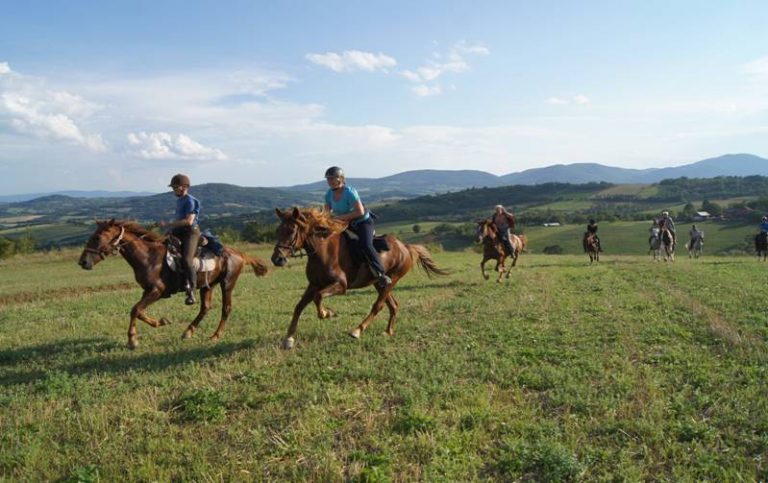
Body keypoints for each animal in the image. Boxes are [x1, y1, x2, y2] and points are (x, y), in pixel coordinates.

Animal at [78, 219, 269, 349]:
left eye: (97, 237)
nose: (83, 262)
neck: (148, 256)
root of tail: (240, 254)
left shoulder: (157, 290)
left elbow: (135, 310)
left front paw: (132, 340)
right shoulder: (148, 291)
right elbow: (139, 311)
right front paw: (161, 322)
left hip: (227, 284)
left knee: (226, 309)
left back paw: (215, 335)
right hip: (207, 285)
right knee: (205, 308)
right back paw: (188, 331)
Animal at [270, 207, 449, 349]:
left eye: (292, 231)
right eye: (277, 230)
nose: (276, 259)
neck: (321, 250)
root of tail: (405, 246)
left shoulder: (340, 285)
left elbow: (318, 297)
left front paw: (327, 313)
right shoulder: (314, 284)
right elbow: (299, 306)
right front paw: (289, 339)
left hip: (393, 278)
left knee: (378, 306)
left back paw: (357, 330)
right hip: (379, 282)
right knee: (393, 305)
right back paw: (388, 331)